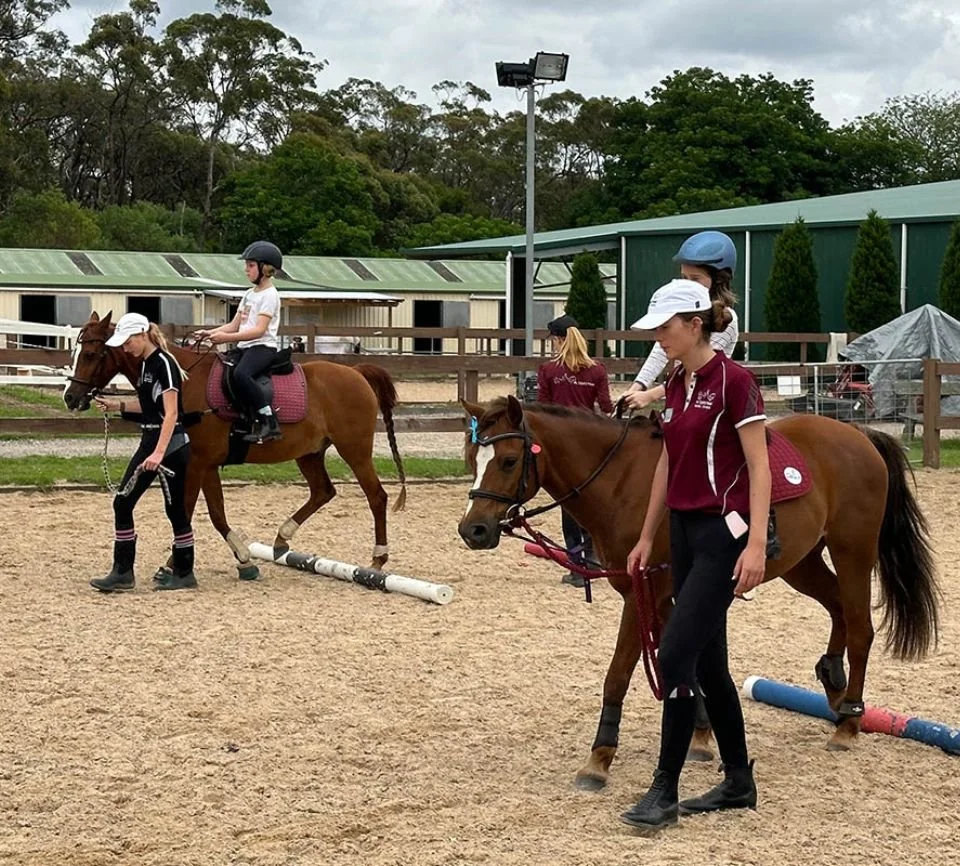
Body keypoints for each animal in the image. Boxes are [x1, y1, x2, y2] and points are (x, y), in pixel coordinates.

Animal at [62, 311, 407, 578]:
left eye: (91, 355)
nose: (71, 397)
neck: (184, 382)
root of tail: (356, 372)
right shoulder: (207, 466)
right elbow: (216, 514)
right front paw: (243, 557)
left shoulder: (197, 464)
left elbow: (187, 511)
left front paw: (173, 563)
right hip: (310, 453)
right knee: (323, 491)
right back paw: (282, 538)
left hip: (354, 450)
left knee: (376, 496)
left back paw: (378, 558)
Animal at [457, 395, 940, 791]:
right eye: (471, 457)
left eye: (508, 460)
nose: (473, 530)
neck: (624, 481)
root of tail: (858, 435)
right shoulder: (666, 597)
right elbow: (685, 669)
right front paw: (703, 737)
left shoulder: (641, 594)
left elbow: (619, 674)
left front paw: (599, 759)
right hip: (801, 563)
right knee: (838, 609)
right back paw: (835, 690)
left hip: (852, 550)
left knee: (860, 628)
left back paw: (848, 723)